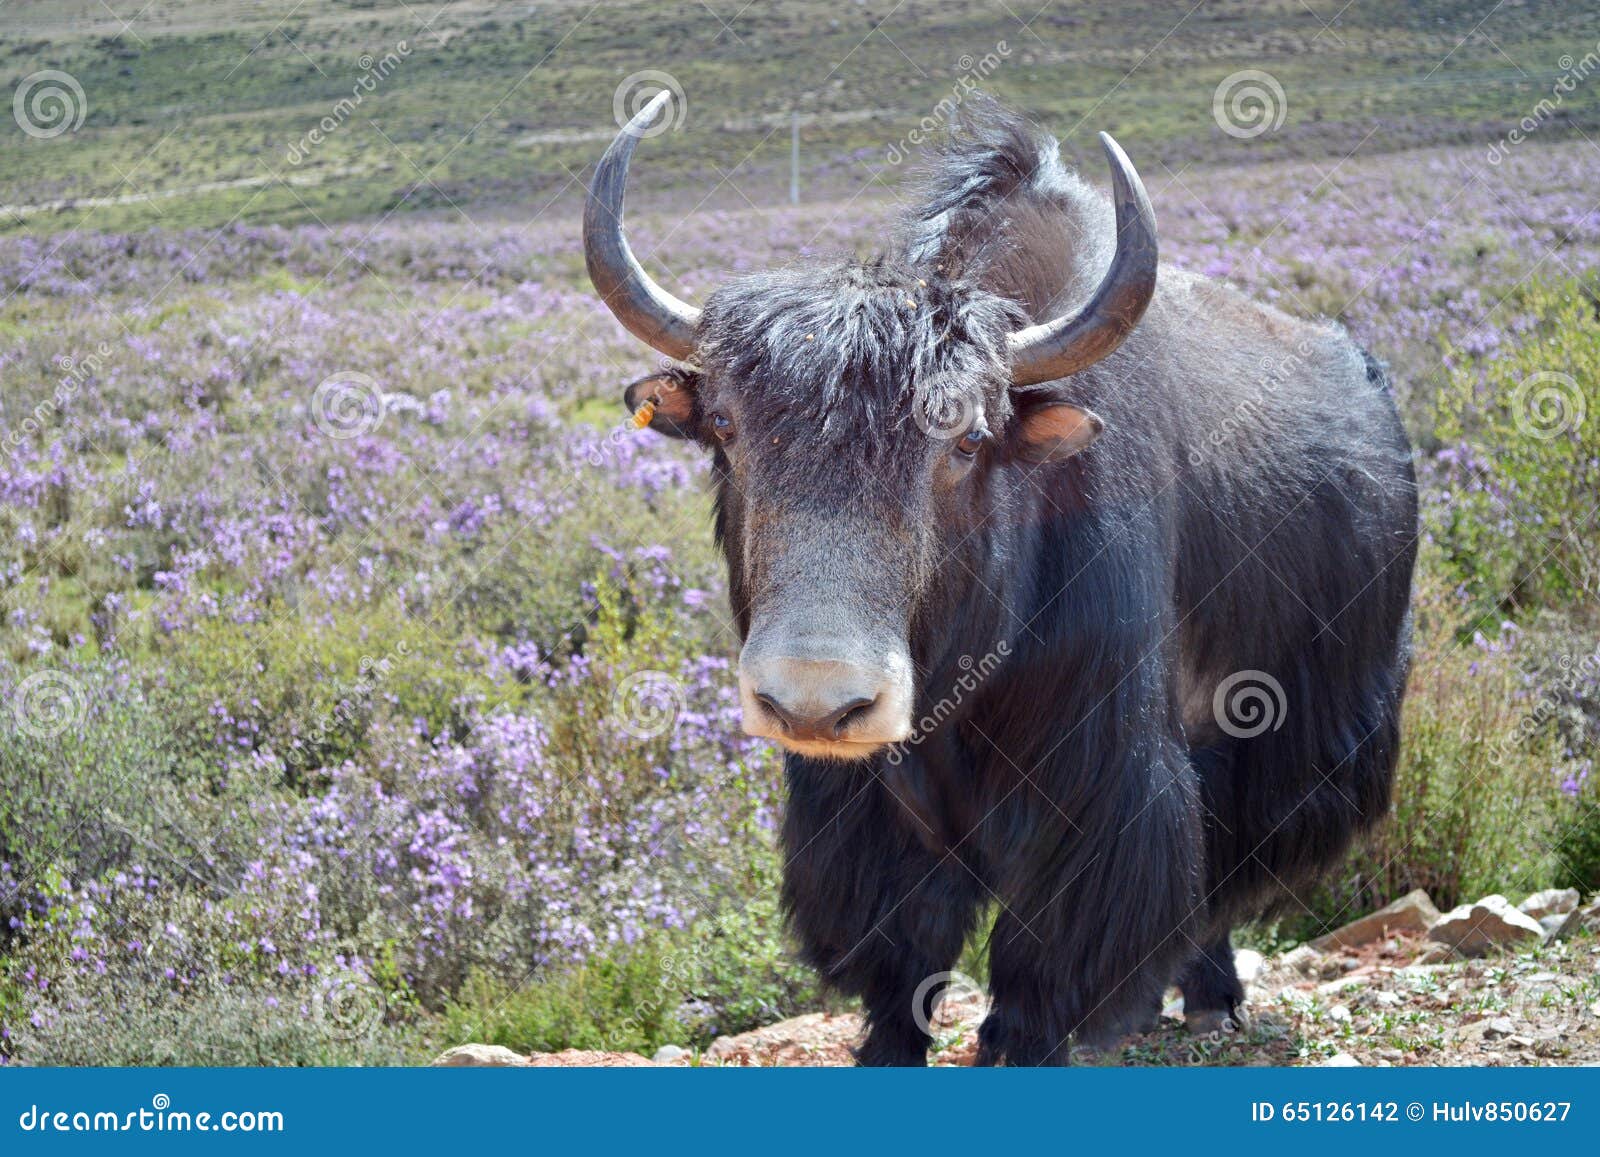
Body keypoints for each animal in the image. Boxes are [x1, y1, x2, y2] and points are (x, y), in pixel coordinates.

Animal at [584, 90, 1417, 1065]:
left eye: (966, 441)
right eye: (725, 426)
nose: (816, 703)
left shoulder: (1098, 779)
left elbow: (1044, 948)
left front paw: (1025, 1041)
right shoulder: (868, 803)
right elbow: (905, 945)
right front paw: (886, 1050)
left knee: (1220, 869)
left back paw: (1208, 1001)